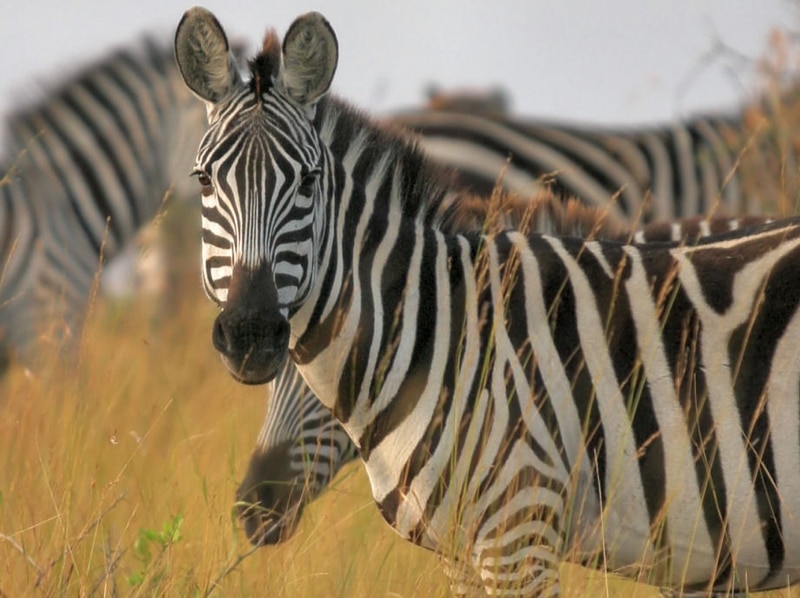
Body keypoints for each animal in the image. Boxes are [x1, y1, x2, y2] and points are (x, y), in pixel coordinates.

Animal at [177, 8, 800, 596]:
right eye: (204, 181)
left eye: (308, 182)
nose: (252, 334)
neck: (446, 335)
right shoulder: (460, 549)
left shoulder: (520, 530)